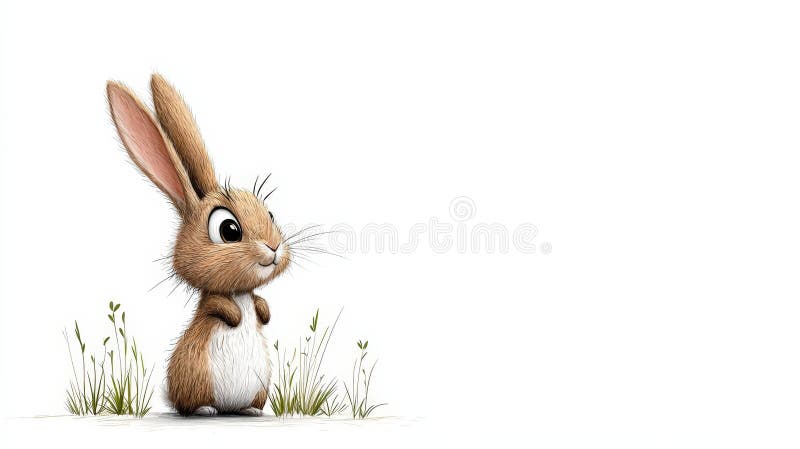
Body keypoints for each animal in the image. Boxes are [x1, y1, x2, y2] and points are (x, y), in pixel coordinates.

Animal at [106, 74, 291, 416]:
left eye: (270, 214)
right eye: (229, 229)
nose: (274, 249)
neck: (239, 293)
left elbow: (259, 304)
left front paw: (263, 311)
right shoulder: (211, 302)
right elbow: (216, 305)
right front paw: (235, 315)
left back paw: (250, 410)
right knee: (190, 405)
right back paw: (206, 409)